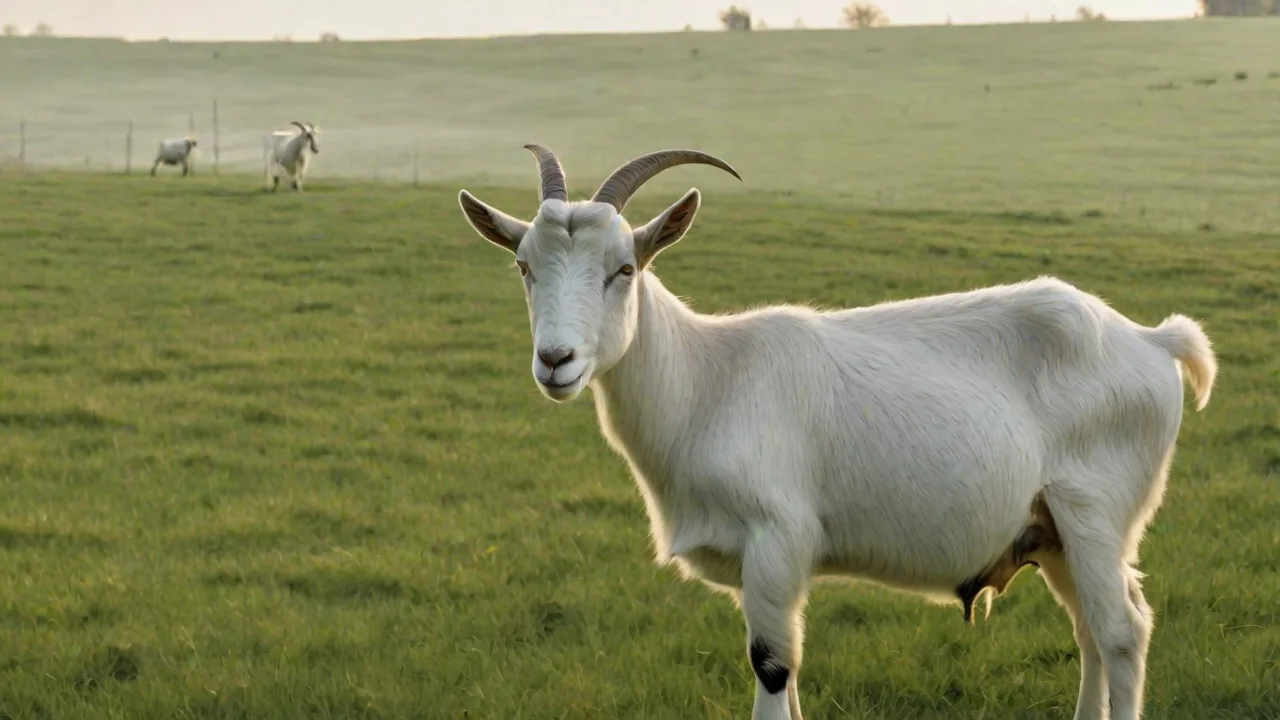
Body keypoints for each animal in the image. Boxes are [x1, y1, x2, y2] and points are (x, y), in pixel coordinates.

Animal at [456, 145, 1217, 720]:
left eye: (623, 268)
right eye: (524, 266)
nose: (557, 361)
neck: (708, 380)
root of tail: (1153, 341)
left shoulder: (776, 538)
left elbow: (772, 666)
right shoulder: (764, 567)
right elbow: (790, 675)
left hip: (1096, 513)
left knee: (1122, 632)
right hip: (1052, 530)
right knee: (1092, 630)